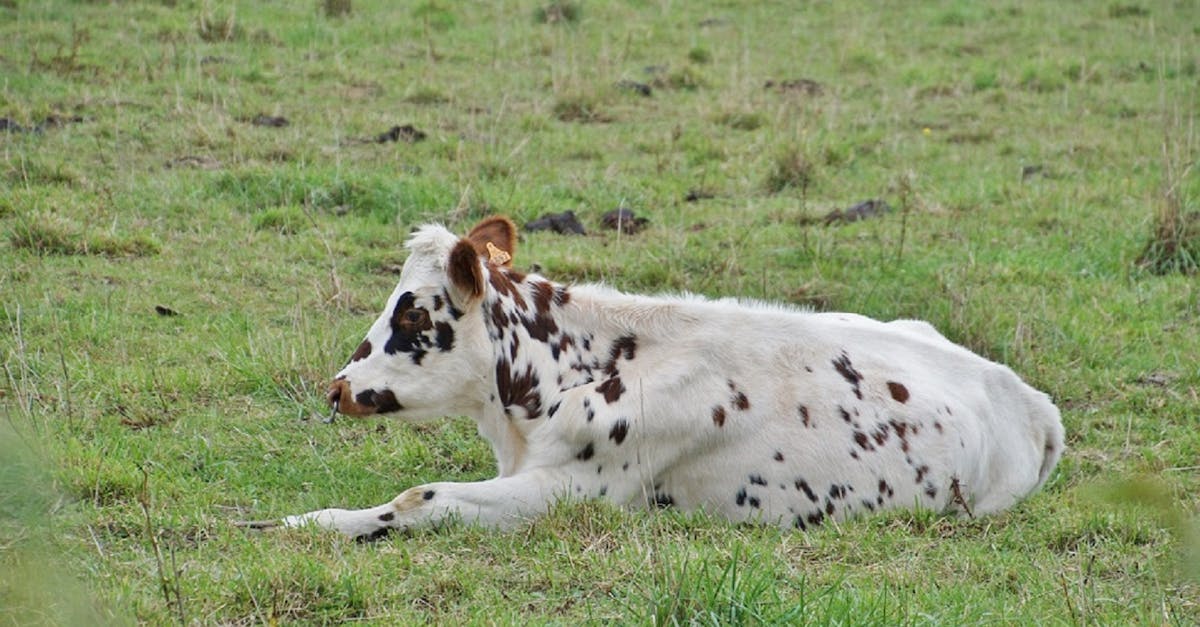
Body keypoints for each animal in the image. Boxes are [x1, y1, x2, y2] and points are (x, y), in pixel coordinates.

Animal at [267, 216, 1065, 535]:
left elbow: (420, 498)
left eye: (409, 317)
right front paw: (298, 520)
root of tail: (1031, 399)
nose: (337, 386)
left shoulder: (572, 492)